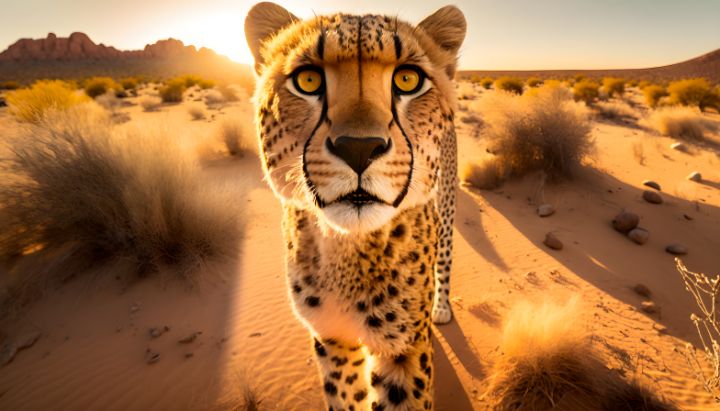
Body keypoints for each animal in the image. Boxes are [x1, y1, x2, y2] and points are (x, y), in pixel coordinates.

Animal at [245, 2, 465, 409]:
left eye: (408, 80)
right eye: (308, 81)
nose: (359, 148)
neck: (346, 245)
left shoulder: (403, 349)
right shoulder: (332, 339)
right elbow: (345, 394)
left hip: (445, 208)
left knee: (444, 257)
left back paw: (441, 308)